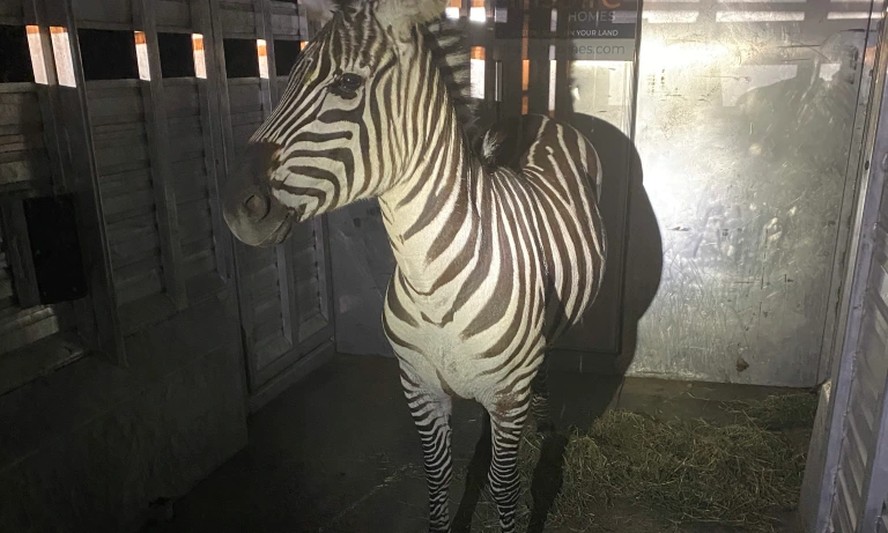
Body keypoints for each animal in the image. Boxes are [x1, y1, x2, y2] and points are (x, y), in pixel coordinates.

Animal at [221, 0, 607, 530]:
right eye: (290, 73)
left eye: (347, 84)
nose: (236, 206)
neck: (431, 282)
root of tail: (536, 116)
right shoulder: (419, 386)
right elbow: (438, 481)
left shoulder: (508, 397)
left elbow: (504, 490)